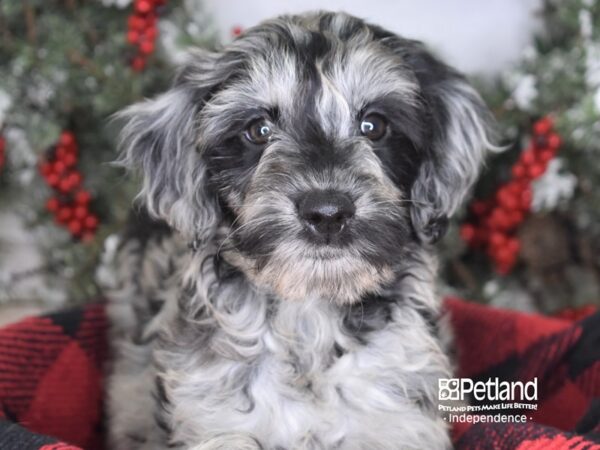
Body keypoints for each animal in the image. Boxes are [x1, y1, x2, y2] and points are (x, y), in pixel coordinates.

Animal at [104, 9, 496, 450]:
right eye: (258, 130)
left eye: (374, 125)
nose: (327, 212)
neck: (311, 311)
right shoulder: (217, 423)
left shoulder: (395, 421)